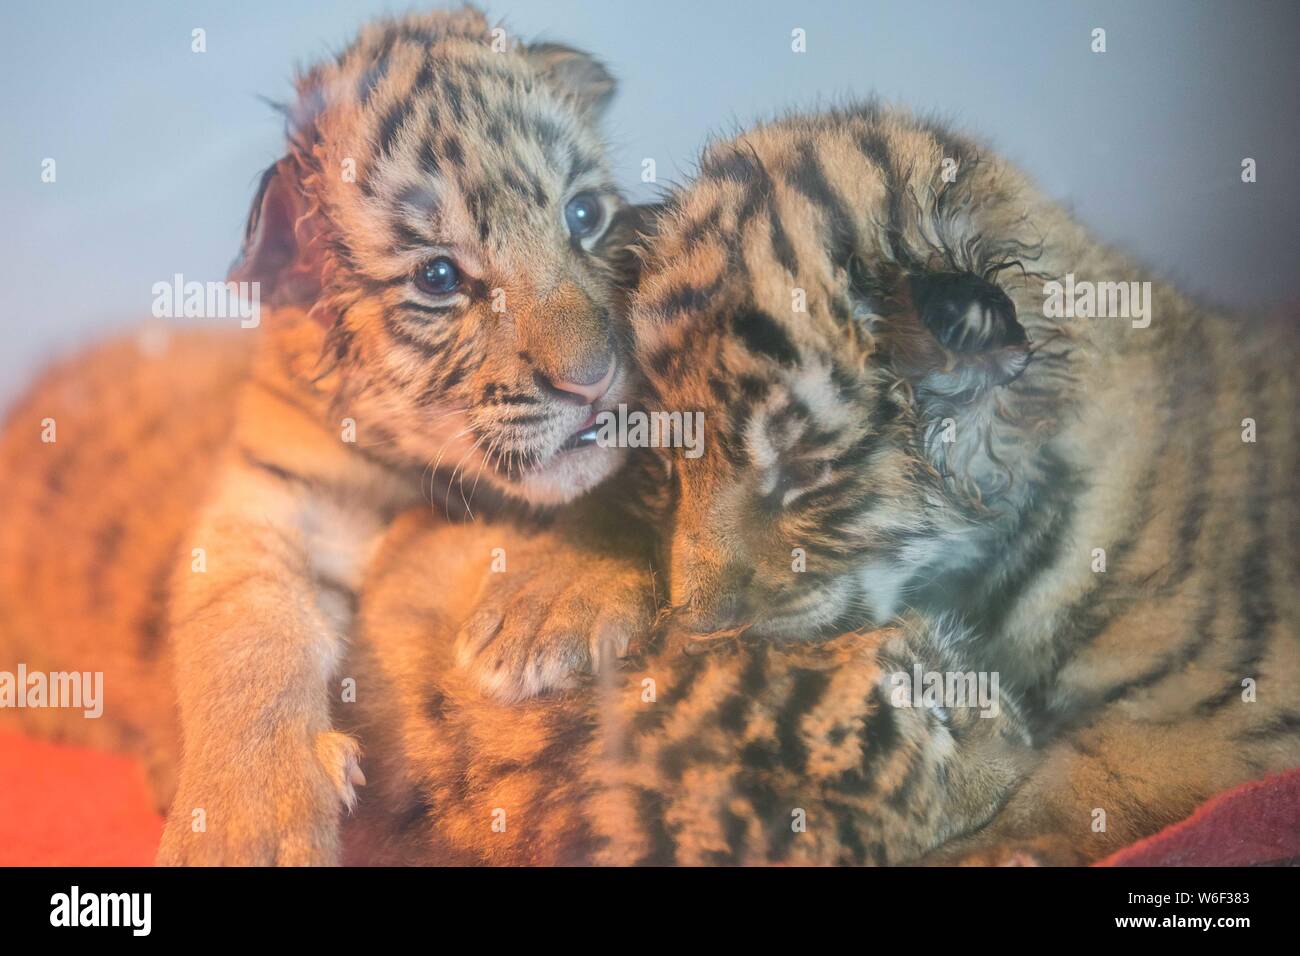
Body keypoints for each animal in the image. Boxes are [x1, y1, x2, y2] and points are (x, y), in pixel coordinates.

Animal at [0, 5, 652, 865]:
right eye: (439, 278)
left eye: (584, 215)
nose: (594, 377)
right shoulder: (271, 490)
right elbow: (242, 626)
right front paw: (242, 821)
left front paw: (546, 608)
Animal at [338, 101, 1298, 865]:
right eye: (665, 465)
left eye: (801, 472)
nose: (698, 624)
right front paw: (544, 607)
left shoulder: (1215, 716)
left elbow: (1082, 782)